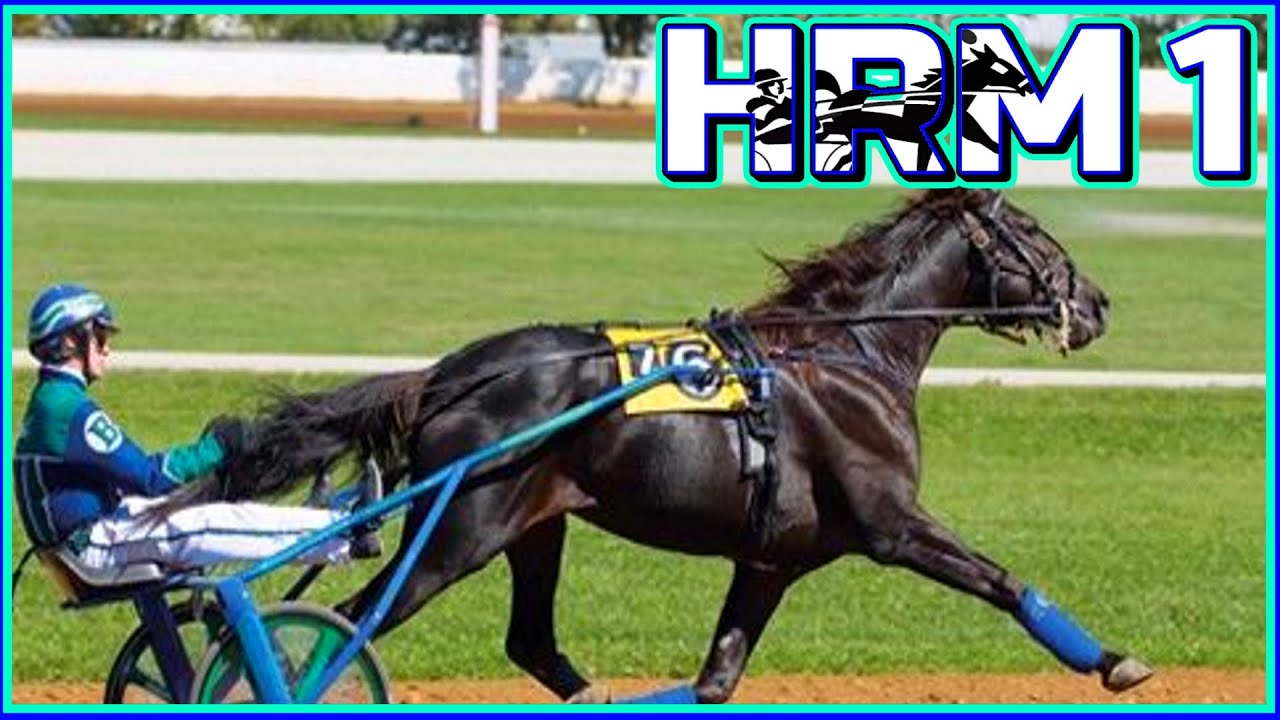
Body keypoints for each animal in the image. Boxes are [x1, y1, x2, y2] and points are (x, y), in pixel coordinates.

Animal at [200, 188, 1152, 703]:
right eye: (1038, 236)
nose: (1099, 303)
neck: (846, 352)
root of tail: (445, 376)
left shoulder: (770, 561)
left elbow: (716, 678)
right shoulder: (891, 524)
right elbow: (1004, 582)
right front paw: (1113, 661)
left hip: (534, 527)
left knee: (529, 640)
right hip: (457, 535)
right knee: (353, 620)